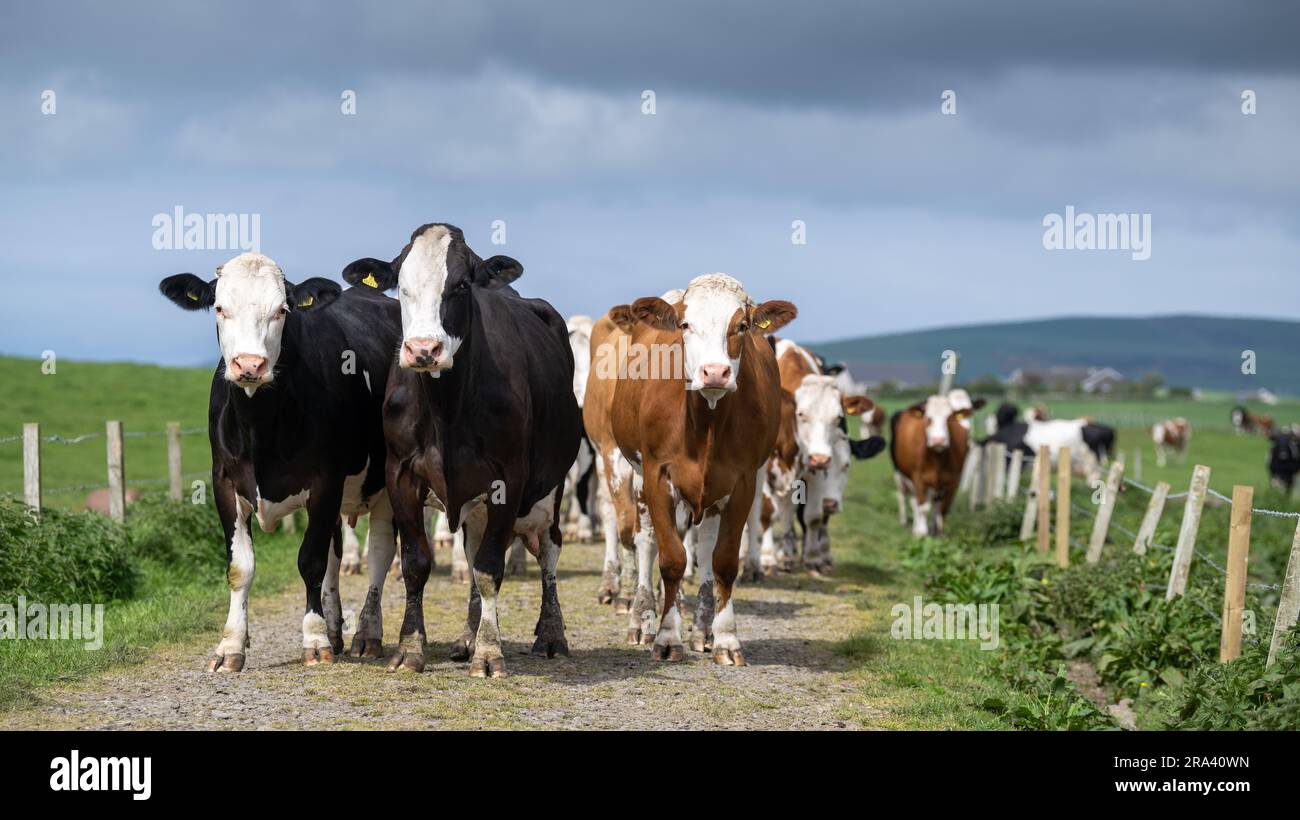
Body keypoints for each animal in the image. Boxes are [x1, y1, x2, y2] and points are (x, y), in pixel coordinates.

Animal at [158, 252, 400, 671]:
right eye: (219, 308)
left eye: (282, 311)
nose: (249, 365)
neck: (261, 427)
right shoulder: (224, 481)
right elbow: (241, 568)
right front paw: (231, 646)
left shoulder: (326, 481)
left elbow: (310, 562)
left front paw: (314, 640)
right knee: (337, 554)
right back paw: (336, 628)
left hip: (386, 482)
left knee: (379, 555)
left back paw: (366, 634)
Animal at [341, 223, 581, 678]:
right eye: (400, 286)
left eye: (461, 285)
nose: (423, 350)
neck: (445, 408)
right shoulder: (401, 473)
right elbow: (418, 564)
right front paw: (411, 648)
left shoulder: (510, 478)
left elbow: (490, 568)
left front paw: (489, 653)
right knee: (472, 552)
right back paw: (468, 635)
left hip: (552, 487)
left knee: (549, 549)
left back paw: (551, 635)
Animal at [601, 273, 796, 664]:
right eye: (685, 325)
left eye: (741, 326)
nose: (715, 372)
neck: (705, 423)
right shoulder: (658, 476)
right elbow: (672, 559)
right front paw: (666, 637)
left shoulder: (743, 482)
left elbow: (723, 561)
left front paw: (726, 638)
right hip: (638, 476)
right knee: (646, 540)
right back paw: (643, 619)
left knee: (704, 547)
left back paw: (703, 629)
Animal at [890, 393, 983, 537]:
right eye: (928, 418)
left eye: (949, 418)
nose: (938, 440)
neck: (937, 459)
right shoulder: (918, 478)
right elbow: (922, 507)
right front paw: (922, 534)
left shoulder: (953, 481)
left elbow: (943, 509)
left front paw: (939, 534)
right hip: (900, 474)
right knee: (905, 497)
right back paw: (908, 523)